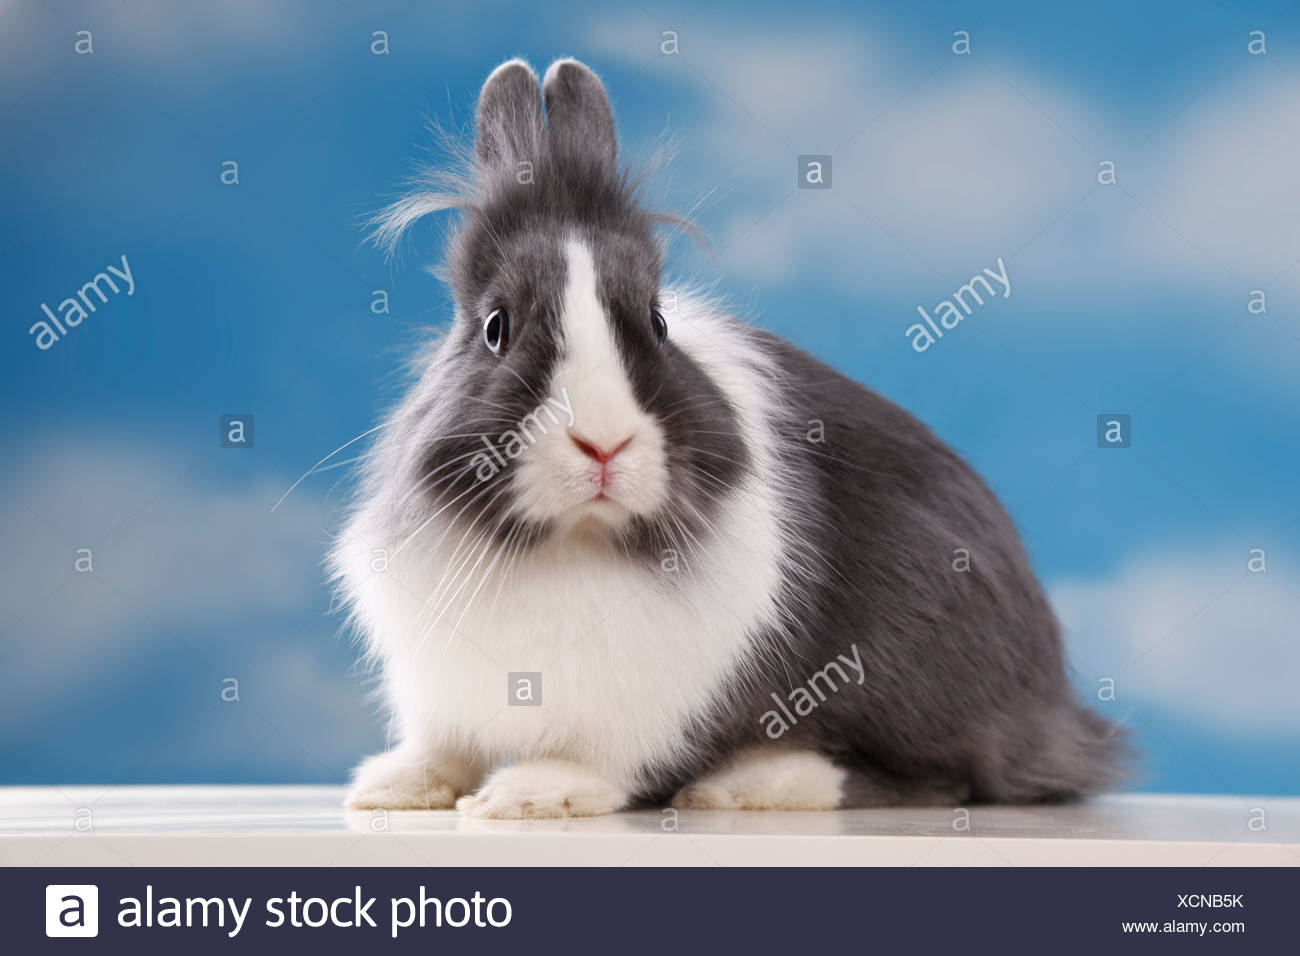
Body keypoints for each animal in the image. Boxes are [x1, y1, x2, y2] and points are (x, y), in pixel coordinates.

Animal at [333, 57, 1127, 817]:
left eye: (656, 323)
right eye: (496, 328)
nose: (603, 444)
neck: (575, 540)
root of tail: (1053, 713)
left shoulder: (644, 701)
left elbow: (598, 756)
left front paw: (529, 794)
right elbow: (444, 744)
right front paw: (390, 787)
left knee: (945, 776)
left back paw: (749, 783)